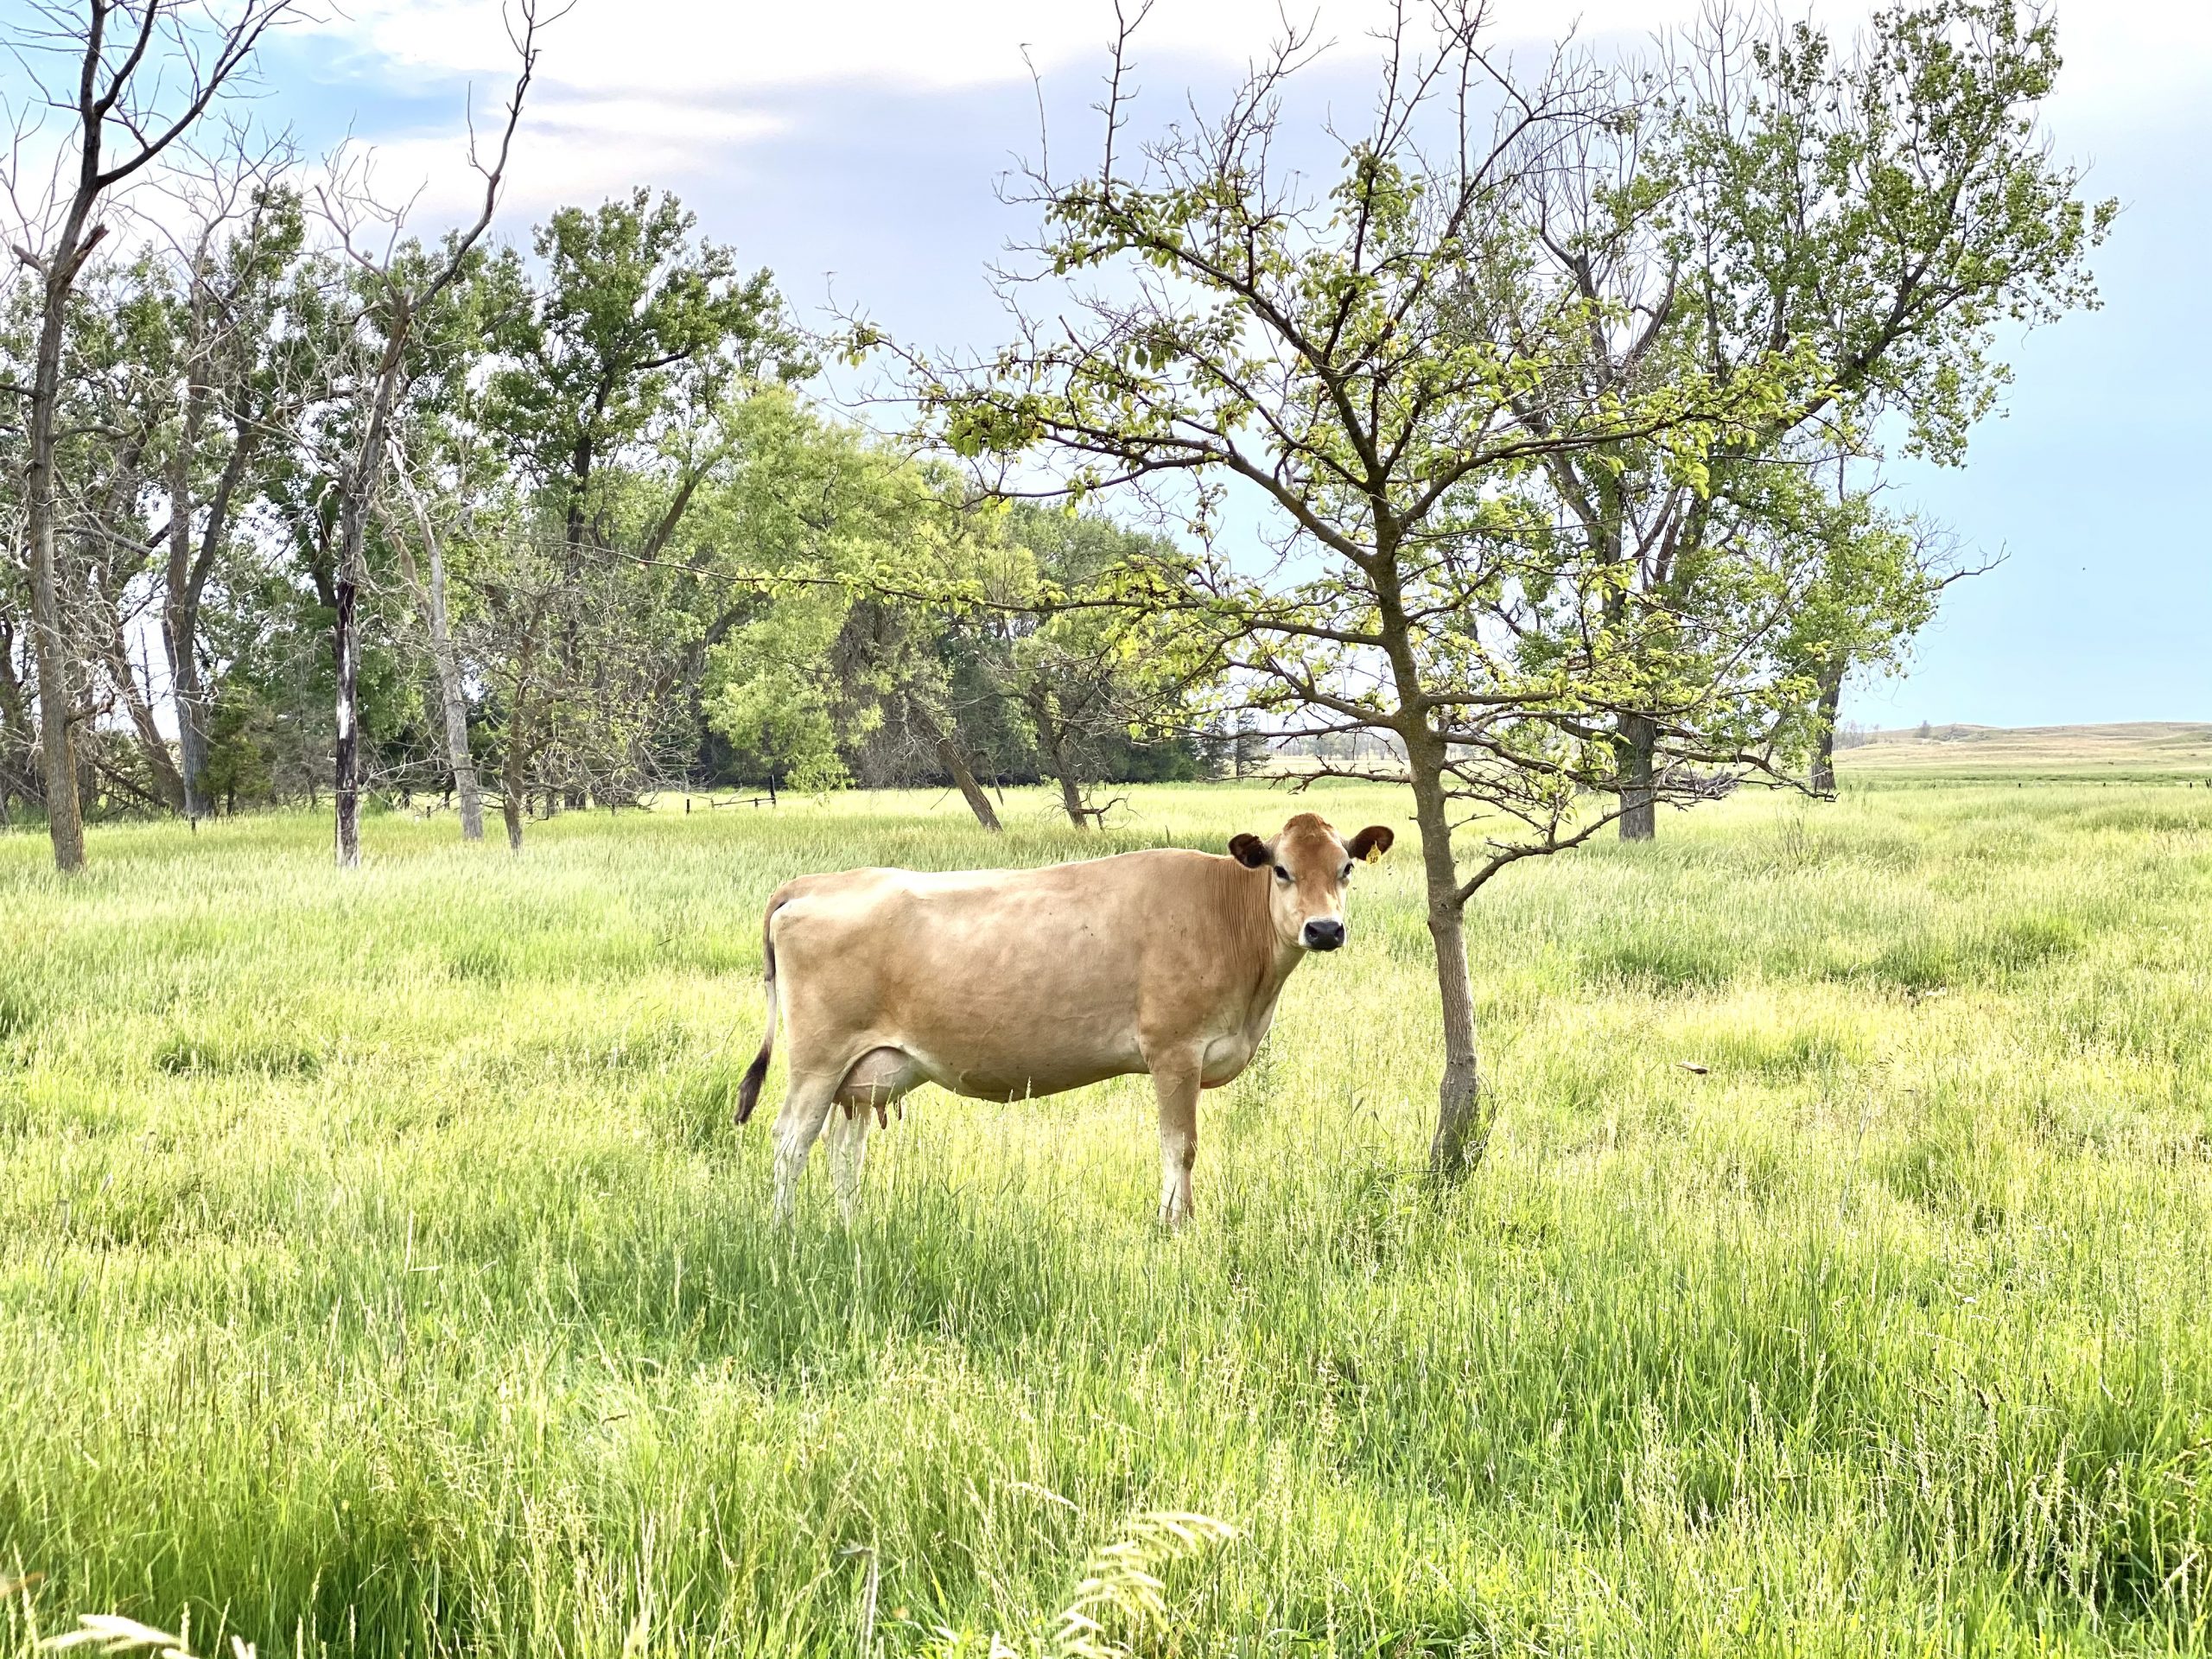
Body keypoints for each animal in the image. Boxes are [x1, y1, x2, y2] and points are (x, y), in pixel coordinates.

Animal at [732, 812, 1395, 1224]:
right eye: (1281, 870)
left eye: (1346, 869)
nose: (1325, 929)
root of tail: (814, 883)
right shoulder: (1175, 1052)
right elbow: (1180, 1146)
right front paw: (1177, 1227)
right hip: (818, 1059)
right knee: (791, 1140)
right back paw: (784, 1234)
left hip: (863, 1073)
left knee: (844, 1148)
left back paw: (849, 1227)